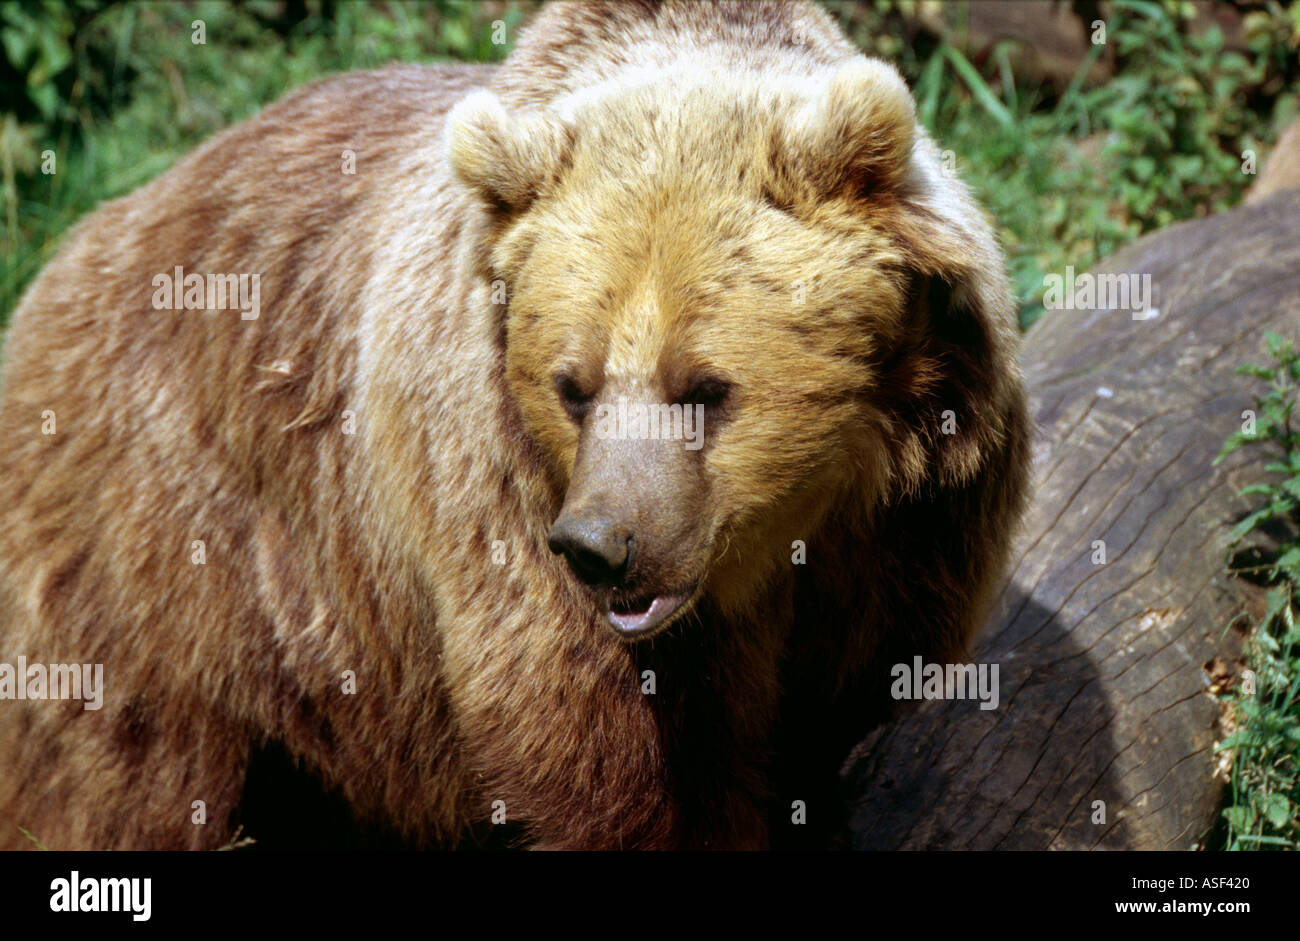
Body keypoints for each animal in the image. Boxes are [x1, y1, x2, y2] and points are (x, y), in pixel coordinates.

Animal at [0, 0, 1029, 850]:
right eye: (572, 385)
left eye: (703, 386)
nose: (602, 546)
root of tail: (76, 252)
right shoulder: (497, 482)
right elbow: (604, 750)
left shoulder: (909, 528)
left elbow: (829, 715)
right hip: (159, 549)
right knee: (119, 766)